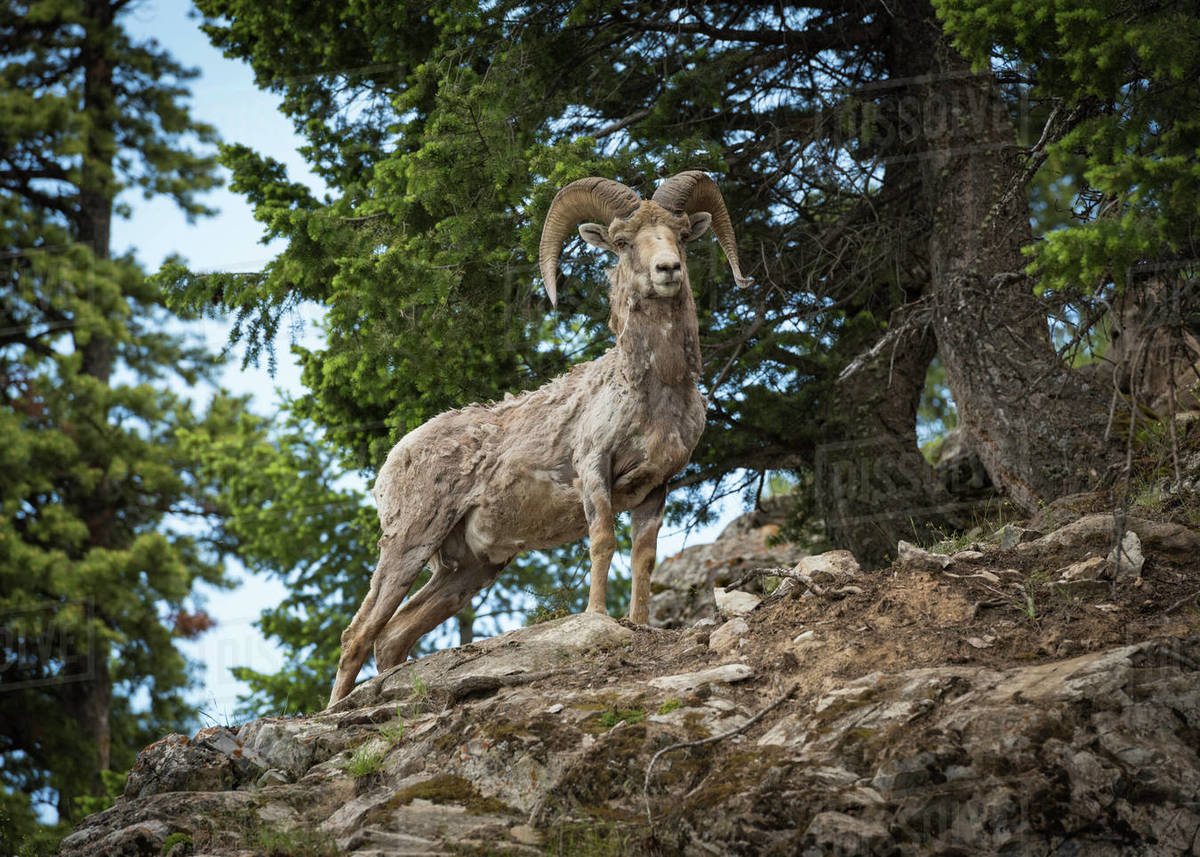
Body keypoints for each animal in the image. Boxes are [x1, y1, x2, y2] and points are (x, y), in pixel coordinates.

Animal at [328, 171, 751, 705]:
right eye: (621, 241)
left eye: (680, 234)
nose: (668, 269)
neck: (657, 389)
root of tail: (392, 463)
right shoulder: (594, 471)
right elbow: (602, 541)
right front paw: (597, 617)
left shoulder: (657, 487)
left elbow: (643, 558)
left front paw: (638, 623)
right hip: (409, 542)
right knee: (357, 635)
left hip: (468, 569)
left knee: (393, 636)